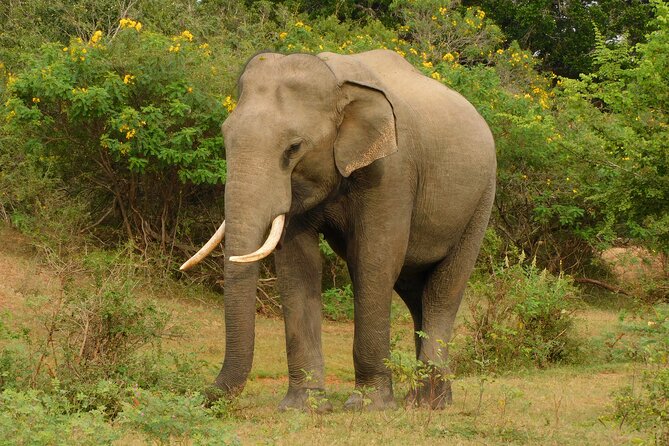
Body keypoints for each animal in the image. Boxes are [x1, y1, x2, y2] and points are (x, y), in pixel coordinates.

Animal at [180, 49, 496, 411]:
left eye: (293, 148)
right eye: (225, 136)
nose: (203, 396)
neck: (336, 83)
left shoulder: (392, 171)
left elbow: (375, 260)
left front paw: (368, 406)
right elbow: (298, 266)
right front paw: (303, 407)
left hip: (481, 200)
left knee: (443, 290)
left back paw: (428, 403)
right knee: (415, 291)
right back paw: (422, 399)